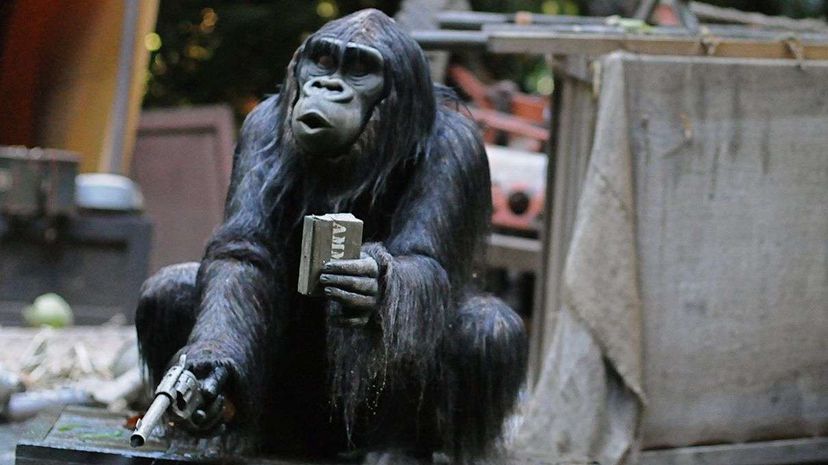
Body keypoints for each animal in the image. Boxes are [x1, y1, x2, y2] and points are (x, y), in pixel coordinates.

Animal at [134, 8, 524, 464]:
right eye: (322, 60)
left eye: (358, 68)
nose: (327, 86)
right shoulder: (258, 128)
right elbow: (245, 253)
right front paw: (210, 366)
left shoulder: (457, 149)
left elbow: (424, 262)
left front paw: (372, 281)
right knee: (167, 290)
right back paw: (228, 433)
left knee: (487, 327)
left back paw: (395, 448)